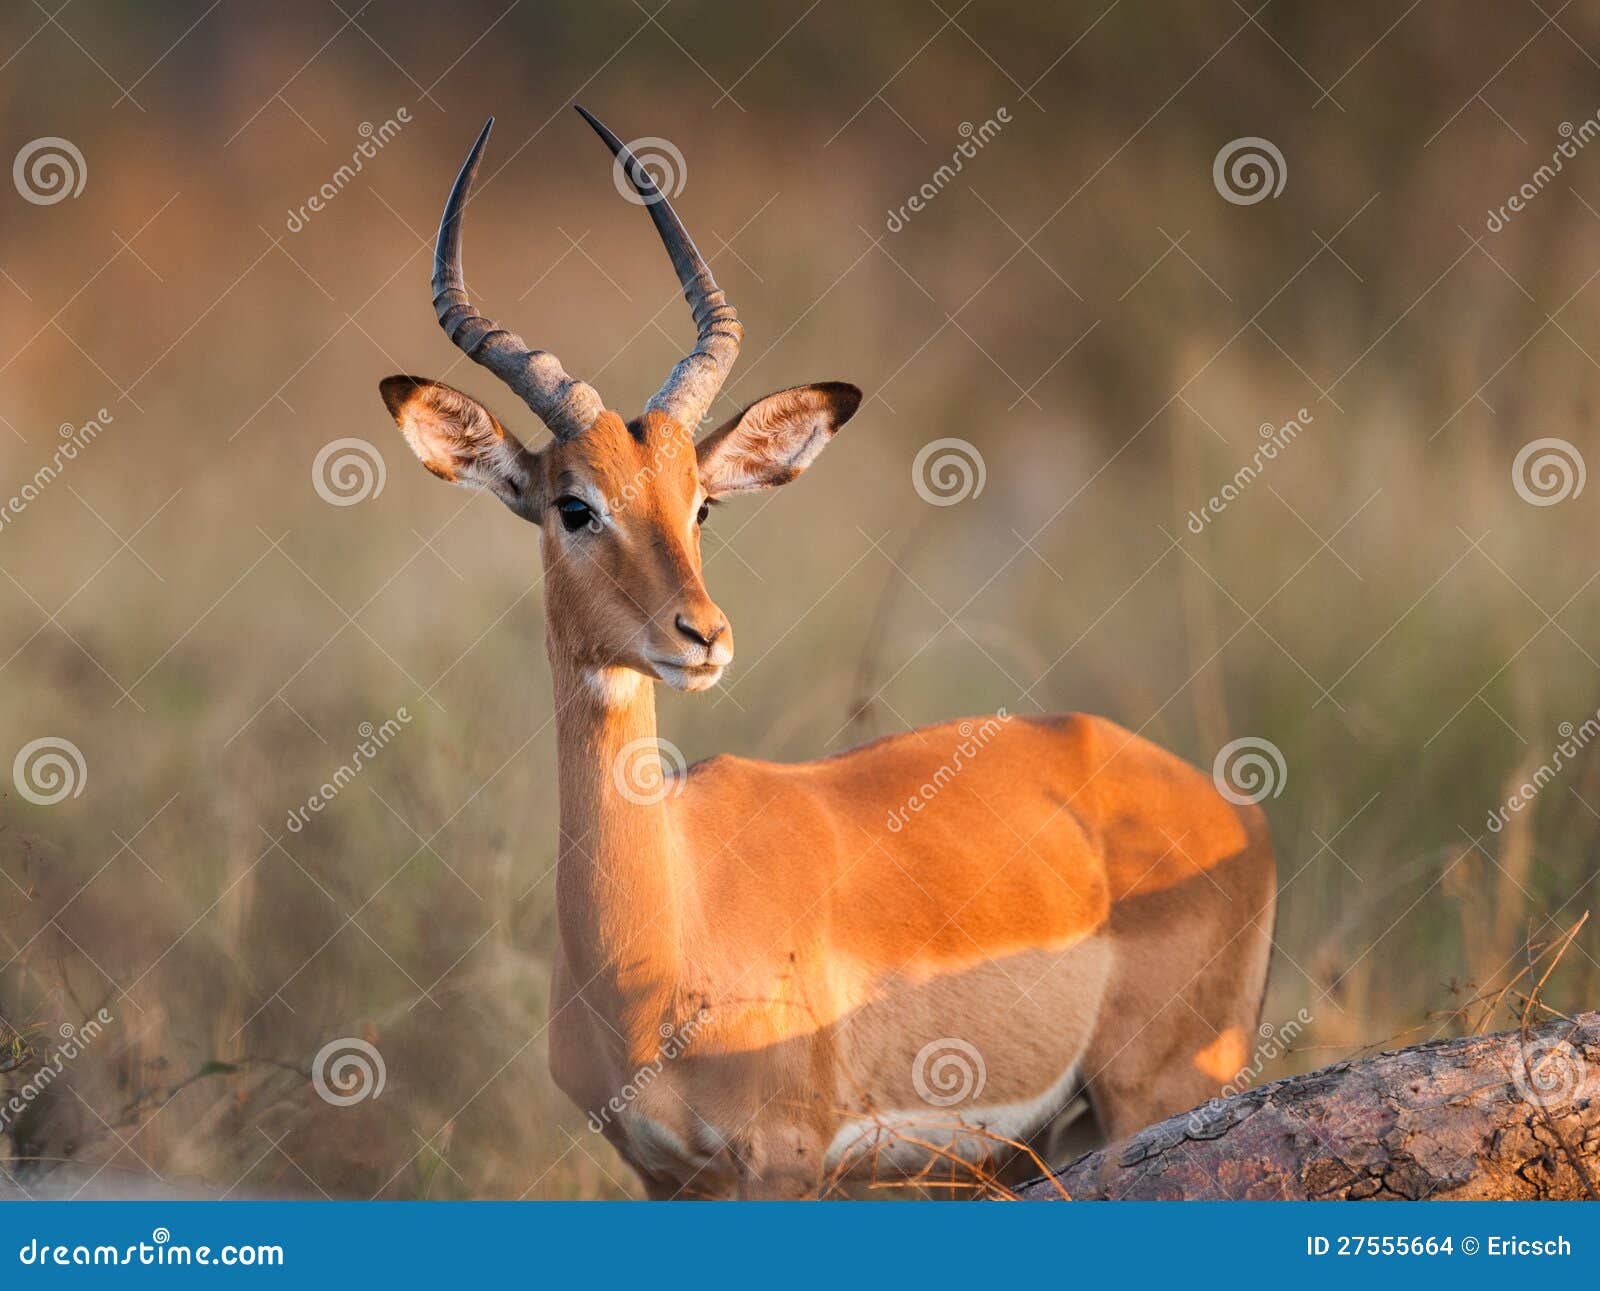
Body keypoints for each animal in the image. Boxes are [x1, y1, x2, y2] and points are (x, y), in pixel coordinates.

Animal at [378, 108, 1277, 1199]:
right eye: (574, 505)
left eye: (701, 504)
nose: (703, 635)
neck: (655, 946)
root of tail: (1231, 810)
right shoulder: (663, 1178)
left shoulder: (783, 1159)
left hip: (1158, 1093)